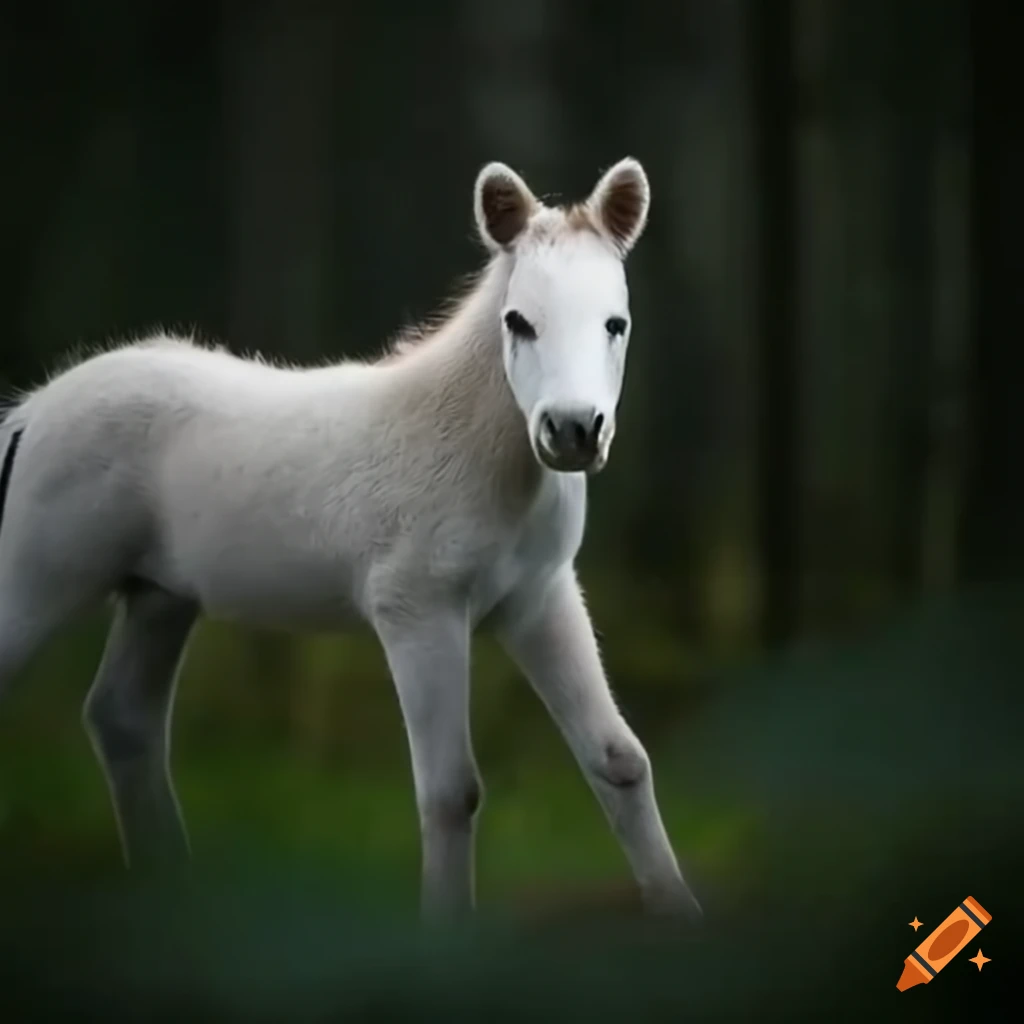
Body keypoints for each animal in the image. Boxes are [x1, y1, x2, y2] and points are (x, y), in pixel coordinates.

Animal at [0, 157, 701, 921]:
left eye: (616, 323)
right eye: (519, 321)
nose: (572, 431)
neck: (471, 453)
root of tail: (31, 413)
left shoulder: (539, 600)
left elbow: (619, 760)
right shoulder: (416, 609)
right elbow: (450, 793)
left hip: (159, 597)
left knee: (123, 719)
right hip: (37, 579)